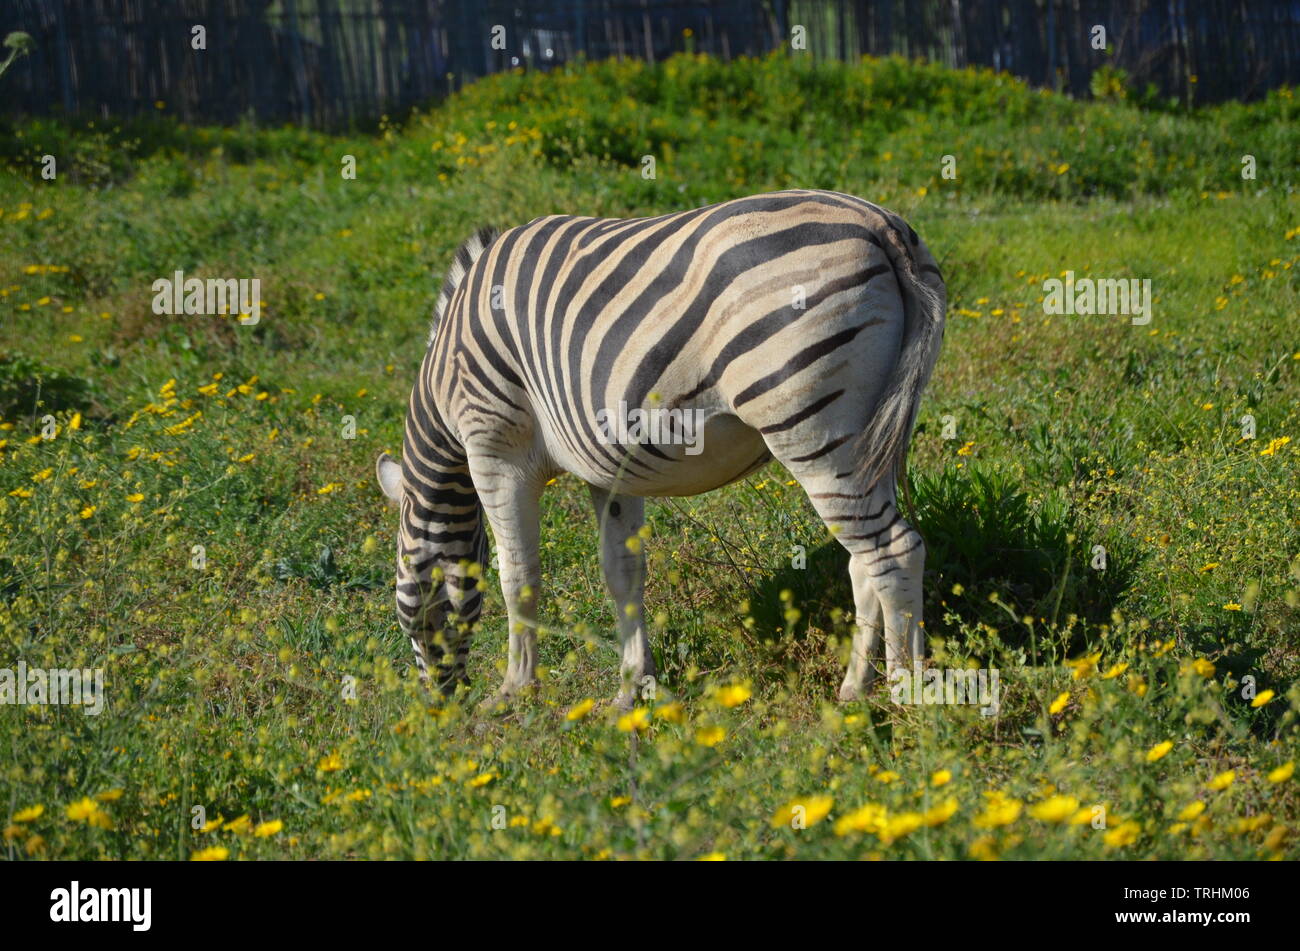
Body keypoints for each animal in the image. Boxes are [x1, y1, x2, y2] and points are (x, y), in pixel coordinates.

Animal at [376, 189, 945, 706]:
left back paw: (904, 698)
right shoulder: (608, 467)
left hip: (815, 432)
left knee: (894, 552)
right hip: (871, 437)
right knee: (863, 561)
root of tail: (879, 224)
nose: (441, 707)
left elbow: (516, 575)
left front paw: (514, 690)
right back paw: (855, 688)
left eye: (410, 604)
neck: (446, 380)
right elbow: (621, 572)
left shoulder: (494, 449)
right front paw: (633, 688)